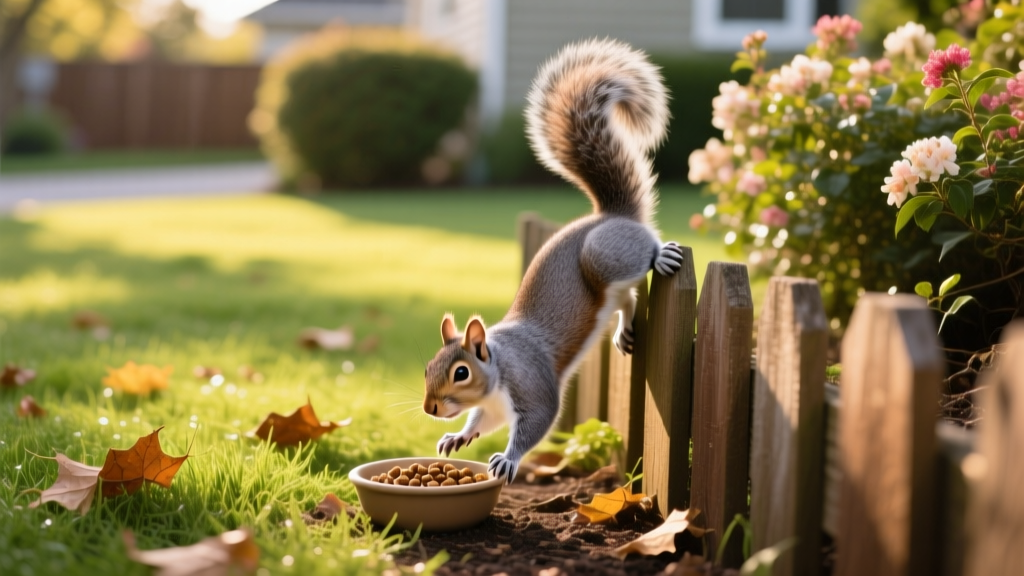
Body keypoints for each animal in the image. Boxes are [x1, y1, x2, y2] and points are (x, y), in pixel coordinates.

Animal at [422, 38, 684, 484]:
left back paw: (662, 253)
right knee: (628, 298)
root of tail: (611, 215)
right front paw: (458, 436)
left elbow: (538, 422)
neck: (498, 369)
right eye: (427, 367)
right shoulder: (492, 409)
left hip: (605, 255)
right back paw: (622, 330)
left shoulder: (532, 385)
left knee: (640, 261)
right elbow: (482, 422)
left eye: (461, 372)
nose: (430, 408)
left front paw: (508, 459)